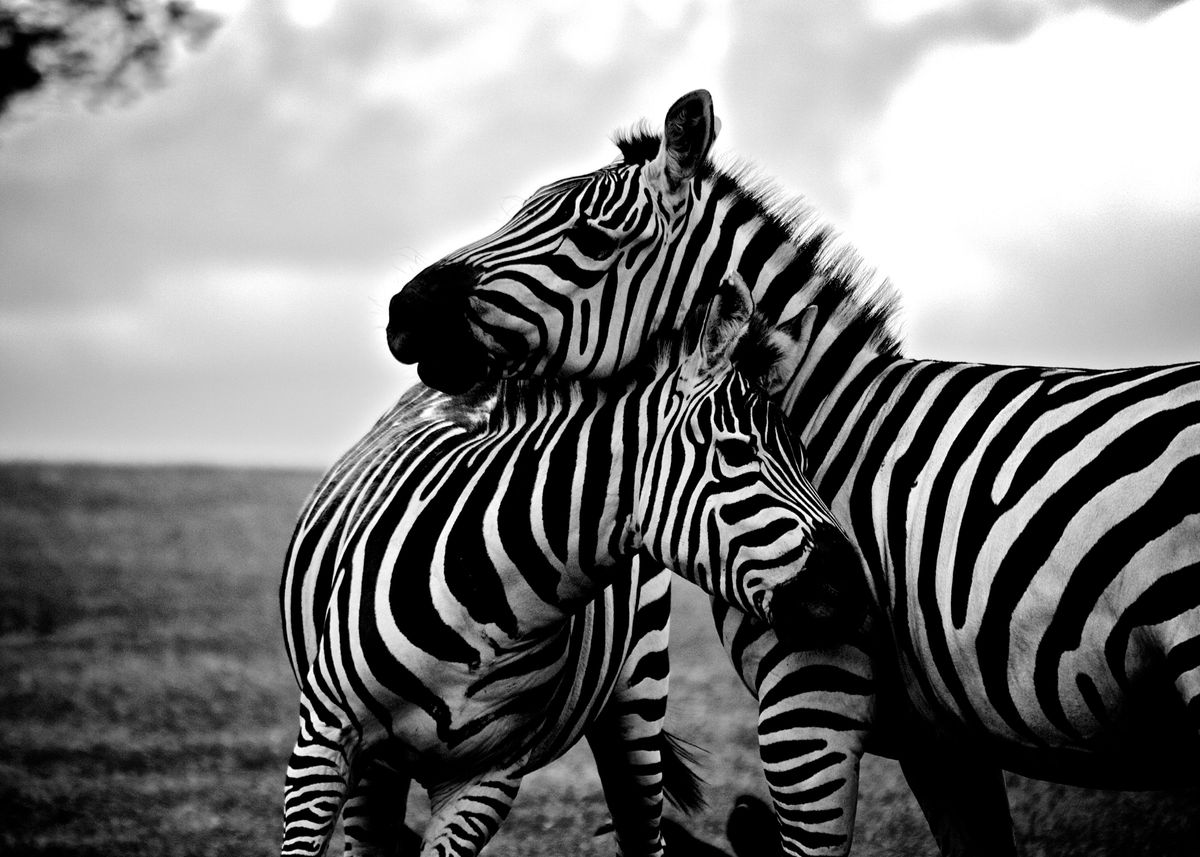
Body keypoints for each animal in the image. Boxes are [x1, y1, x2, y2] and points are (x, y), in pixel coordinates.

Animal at [279, 275, 863, 857]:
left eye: (806, 460)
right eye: (737, 453)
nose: (855, 589)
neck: (490, 605)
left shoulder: (487, 778)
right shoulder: (323, 741)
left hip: (637, 702)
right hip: (377, 768)